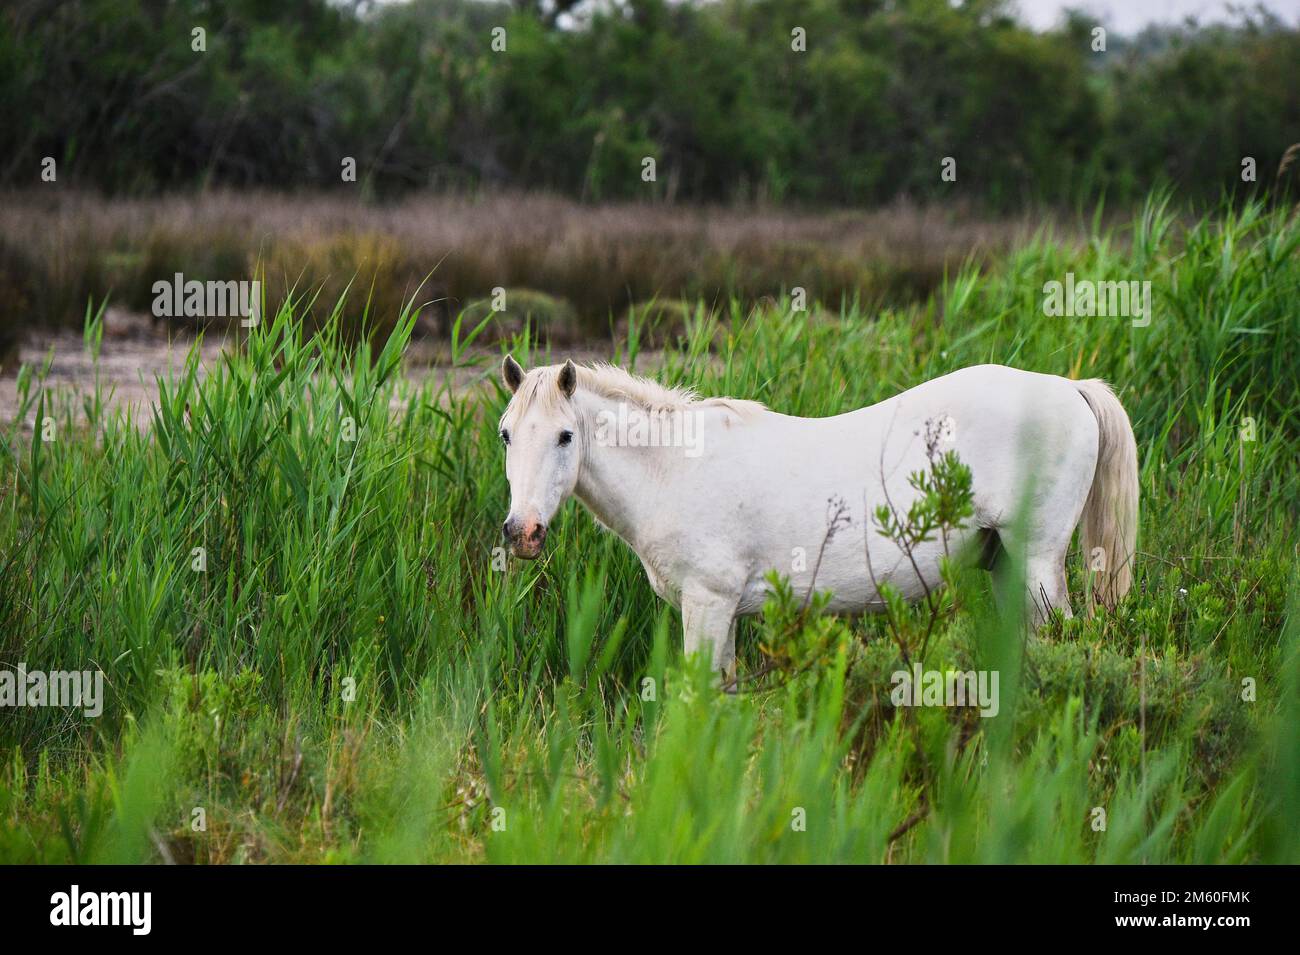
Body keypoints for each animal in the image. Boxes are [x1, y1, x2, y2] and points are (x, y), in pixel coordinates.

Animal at [497, 356, 1138, 680]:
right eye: (505, 433)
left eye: (565, 436)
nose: (522, 533)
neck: (673, 466)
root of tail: (1071, 389)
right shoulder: (722, 613)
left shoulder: (707, 603)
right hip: (1005, 564)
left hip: (1037, 562)